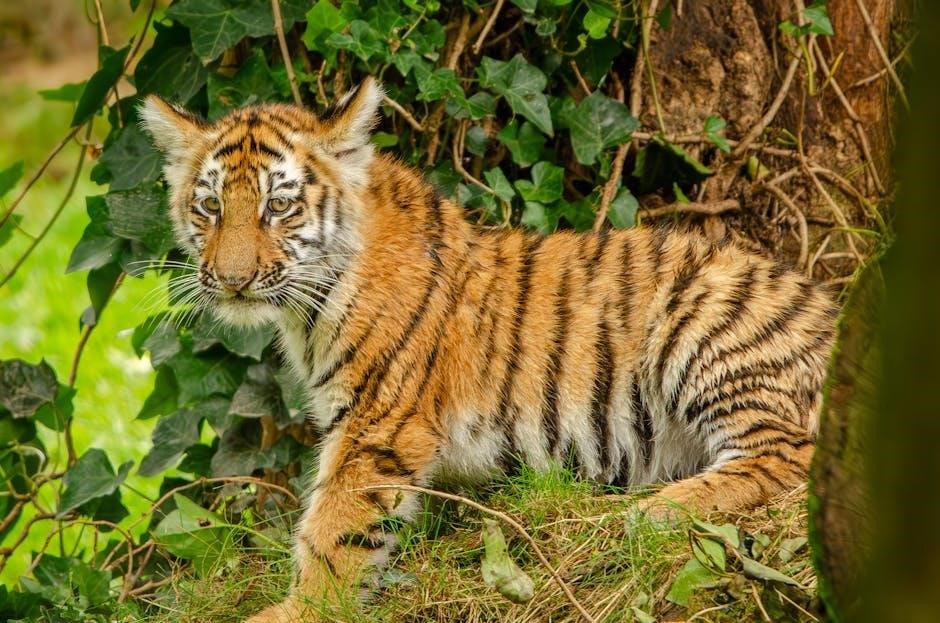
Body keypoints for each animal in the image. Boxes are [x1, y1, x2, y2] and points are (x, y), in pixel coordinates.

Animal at [139, 77, 837, 622]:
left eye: (279, 206)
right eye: (209, 206)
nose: (231, 279)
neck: (308, 306)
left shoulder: (377, 423)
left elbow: (335, 530)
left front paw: (302, 608)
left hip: (703, 319)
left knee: (790, 456)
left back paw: (644, 513)